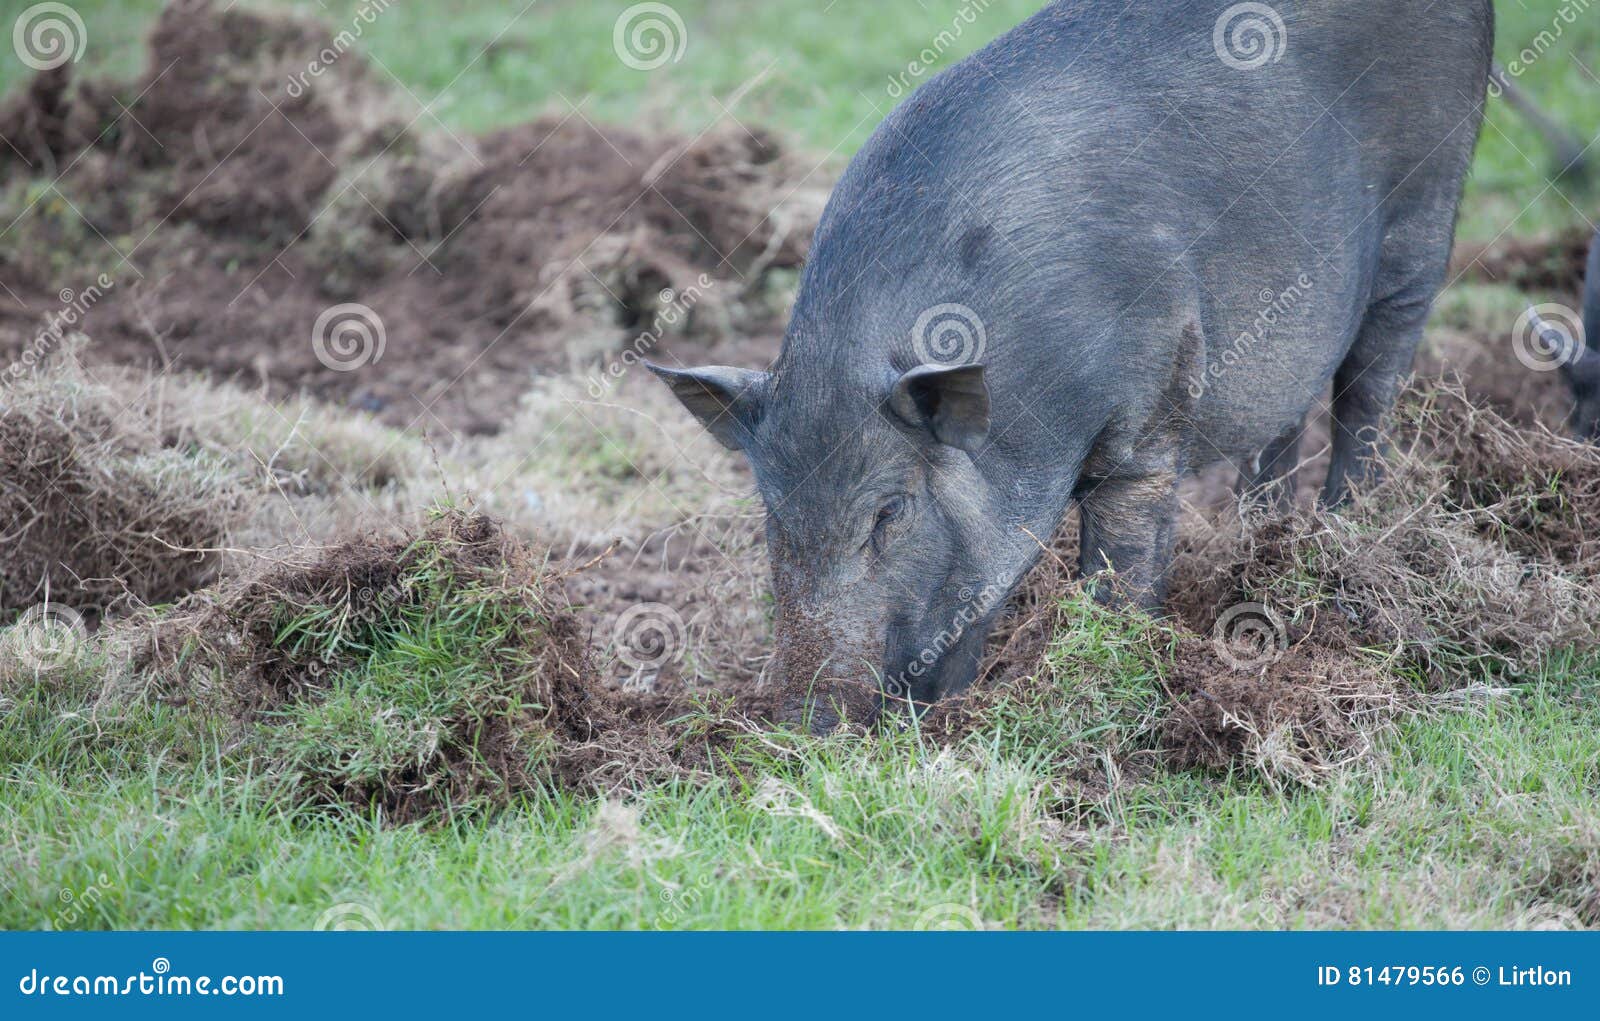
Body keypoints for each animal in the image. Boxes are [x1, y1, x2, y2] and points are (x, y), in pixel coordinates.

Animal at [650, 0, 1492, 724]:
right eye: (773, 512)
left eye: (890, 511)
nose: (809, 724)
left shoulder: (1151, 407)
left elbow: (1119, 559)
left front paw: (1094, 673)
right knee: (1281, 428)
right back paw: (1265, 545)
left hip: (1426, 216)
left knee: (1368, 393)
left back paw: (1347, 539)